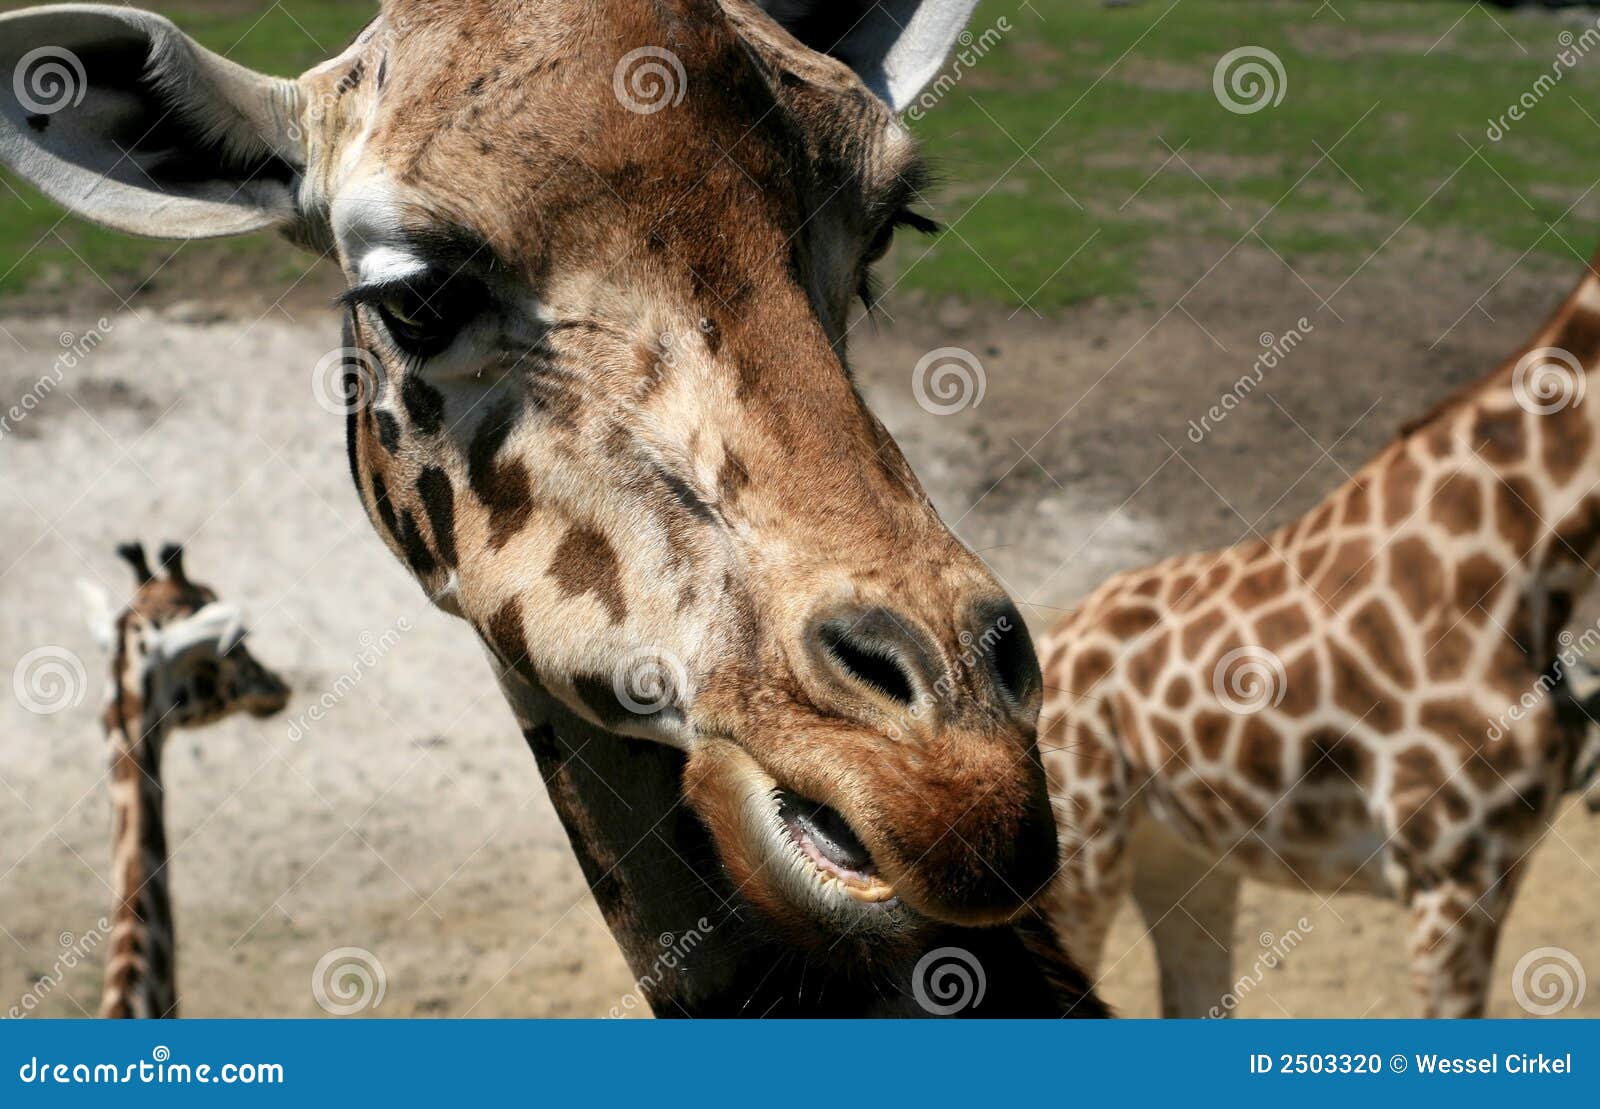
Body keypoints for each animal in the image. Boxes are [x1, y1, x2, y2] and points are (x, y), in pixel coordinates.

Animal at [1037, 250, 1600, 1018]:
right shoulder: (1449, 872)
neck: (1526, 553)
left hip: (1181, 854)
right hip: (1082, 852)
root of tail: (1051, 644)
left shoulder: (1497, 862)